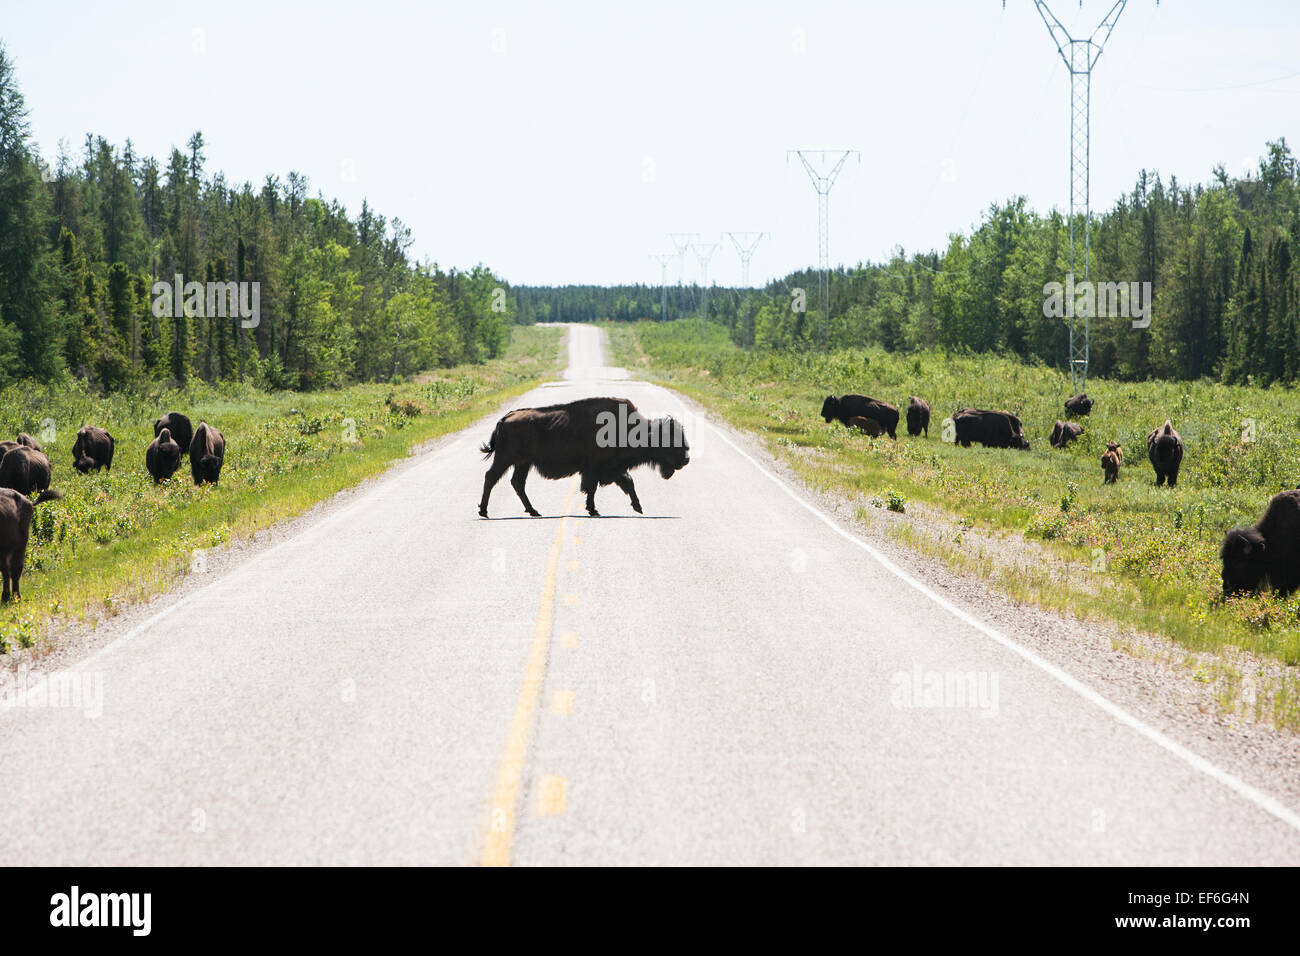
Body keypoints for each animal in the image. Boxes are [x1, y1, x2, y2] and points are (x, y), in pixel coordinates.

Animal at [479, 396, 689, 518]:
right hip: (506, 459)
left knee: (517, 483)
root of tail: (504, 419)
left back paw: (534, 511)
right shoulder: (595, 468)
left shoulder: (612, 468)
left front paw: (638, 507)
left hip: (523, 463)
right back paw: (484, 511)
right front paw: (593, 510)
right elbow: (592, 488)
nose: (686, 458)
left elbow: (627, 482)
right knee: (491, 477)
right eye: (670, 439)